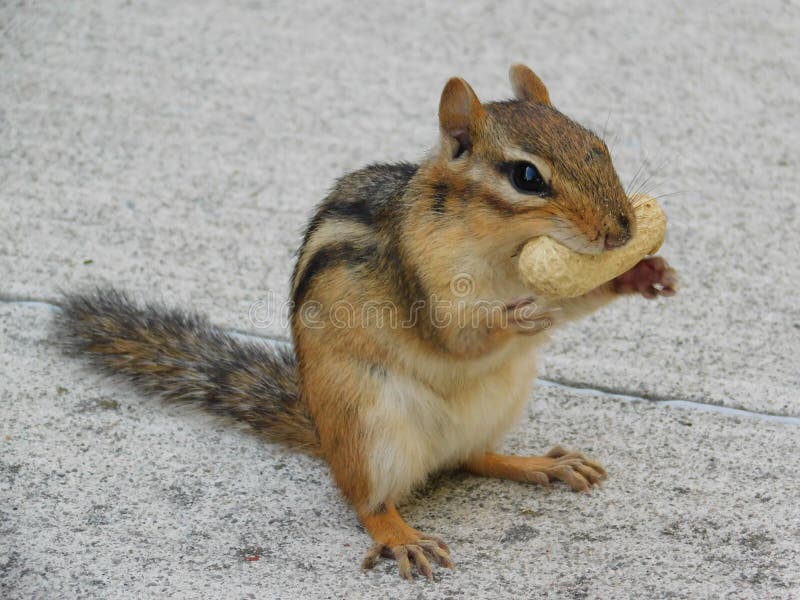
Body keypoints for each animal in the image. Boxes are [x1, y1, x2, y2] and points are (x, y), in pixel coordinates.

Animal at [57, 64, 677, 581]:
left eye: (598, 145)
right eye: (527, 176)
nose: (622, 230)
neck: (504, 253)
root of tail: (326, 438)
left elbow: (575, 294)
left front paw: (643, 273)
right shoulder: (422, 281)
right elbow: (454, 337)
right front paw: (519, 315)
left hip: (502, 398)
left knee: (474, 457)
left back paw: (536, 464)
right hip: (370, 422)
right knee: (367, 501)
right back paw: (401, 535)